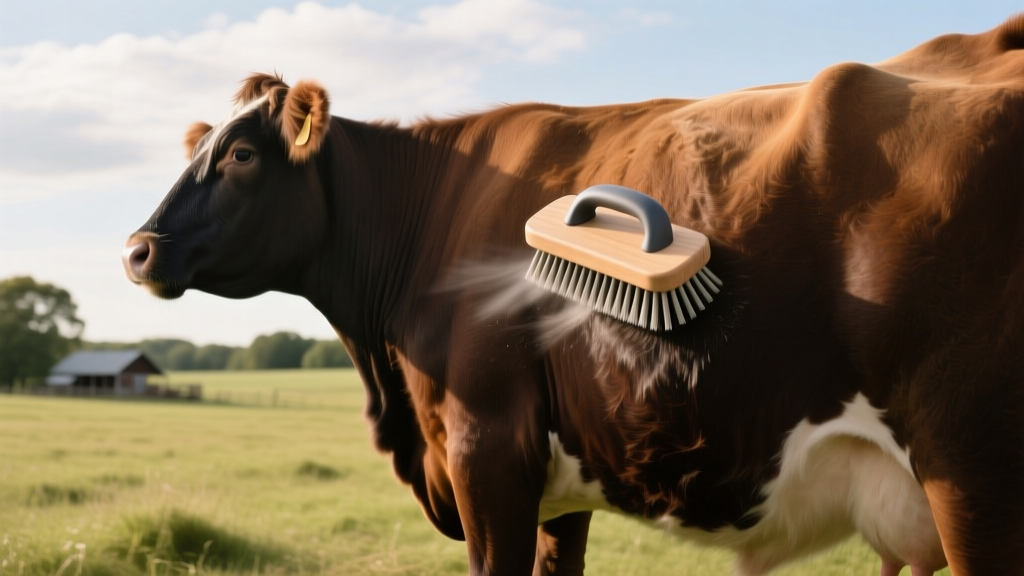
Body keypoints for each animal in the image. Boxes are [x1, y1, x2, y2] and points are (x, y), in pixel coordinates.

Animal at [123, 15, 1024, 576]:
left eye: (241, 155)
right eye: (202, 145)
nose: (138, 249)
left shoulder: (485, 450)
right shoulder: (559, 480)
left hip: (971, 473)